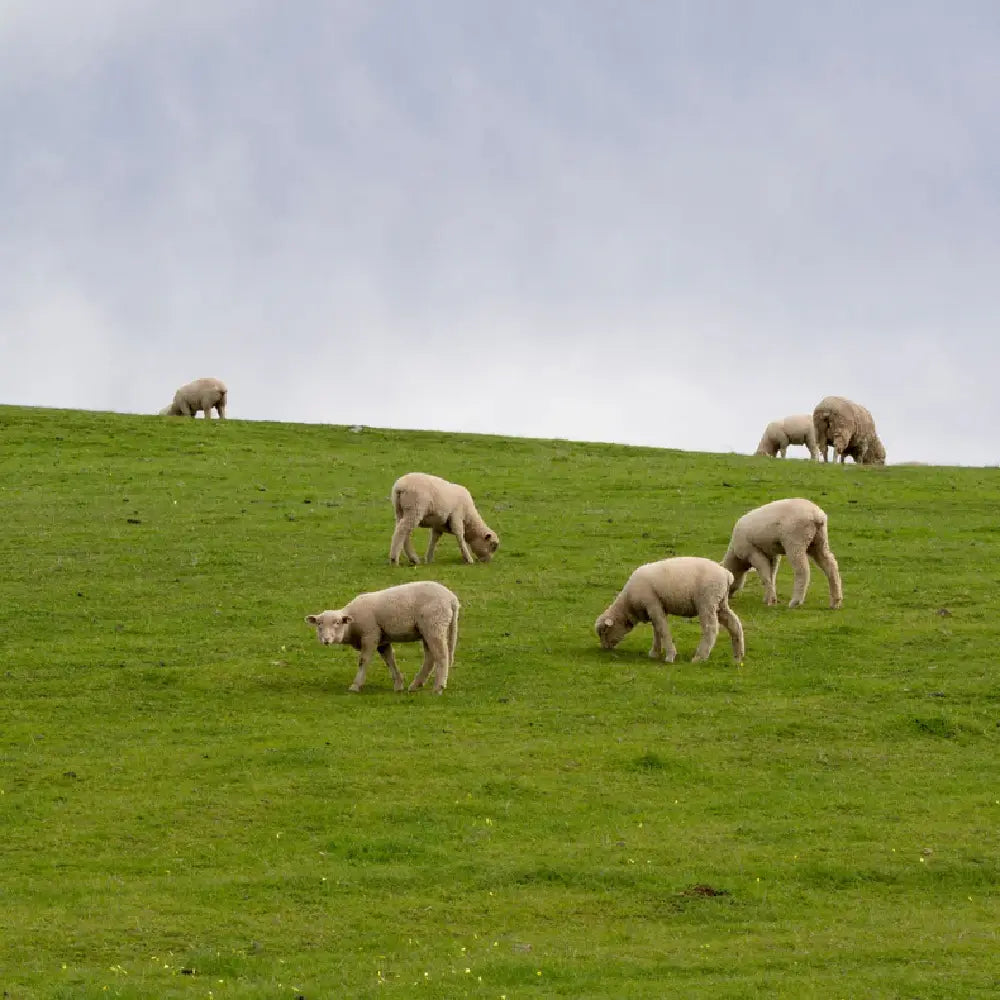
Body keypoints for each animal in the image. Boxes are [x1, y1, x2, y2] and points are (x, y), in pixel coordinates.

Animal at [305, 580, 460, 694]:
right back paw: (416, 685)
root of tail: (451, 598)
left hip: (434, 625)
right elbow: (390, 660)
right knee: (430, 657)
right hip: (426, 630)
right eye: (319, 623)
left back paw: (438, 687)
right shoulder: (382, 641)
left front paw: (356, 685)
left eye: (337, 623)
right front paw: (398, 684)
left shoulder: (370, 635)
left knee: (442, 656)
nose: (326, 640)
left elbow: (363, 661)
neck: (351, 625)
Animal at [595, 556, 744, 664]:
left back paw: (699, 657)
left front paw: (670, 656)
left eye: (604, 631)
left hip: (707, 601)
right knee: (734, 624)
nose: (604, 648)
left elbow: (663, 630)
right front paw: (655, 653)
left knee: (710, 629)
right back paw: (738, 657)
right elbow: (657, 630)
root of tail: (727, 574)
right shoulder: (656, 608)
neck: (628, 604)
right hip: (721, 602)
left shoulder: (652, 604)